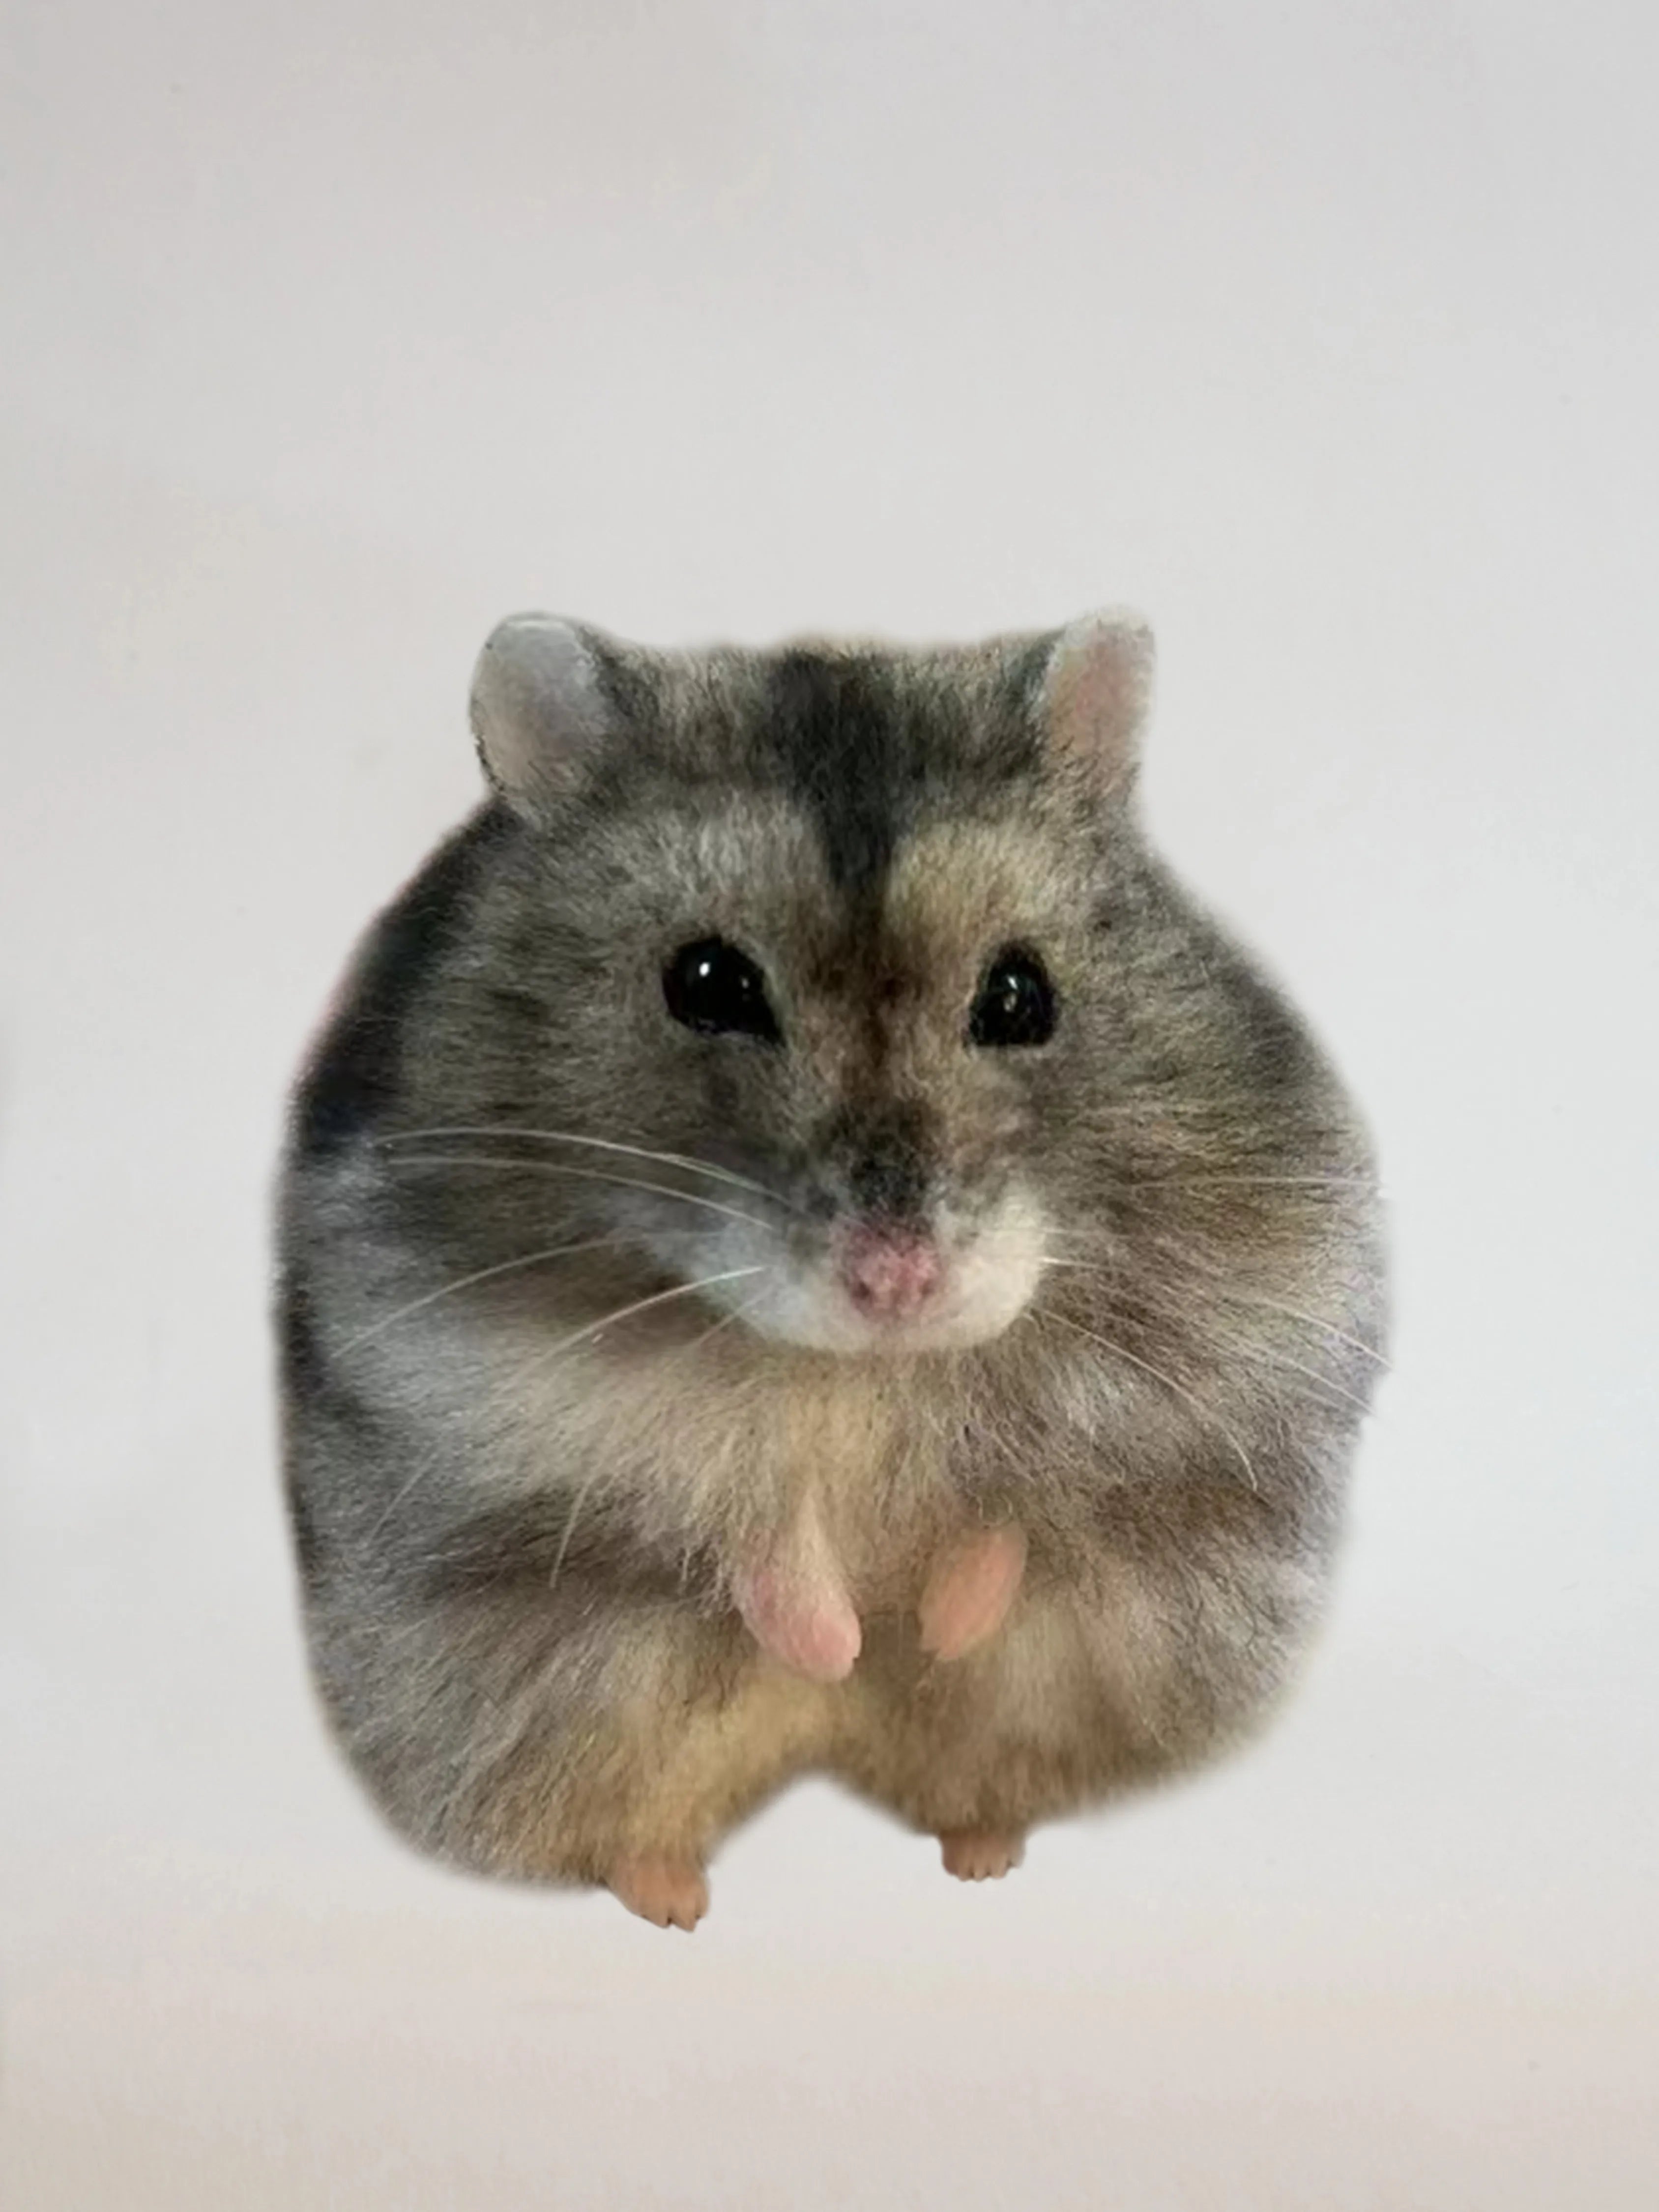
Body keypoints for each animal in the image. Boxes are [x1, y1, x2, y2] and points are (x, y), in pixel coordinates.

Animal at [275, 609, 1386, 1930]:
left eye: (1021, 994)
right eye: (706, 982)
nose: (895, 1283)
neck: (862, 1375)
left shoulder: (1222, 1344)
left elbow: (1023, 1506)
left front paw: (928, 1632)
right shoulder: (486, 1379)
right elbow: (732, 1510)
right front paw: (836, 1643)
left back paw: (979, 1850)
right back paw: (675, 1902)